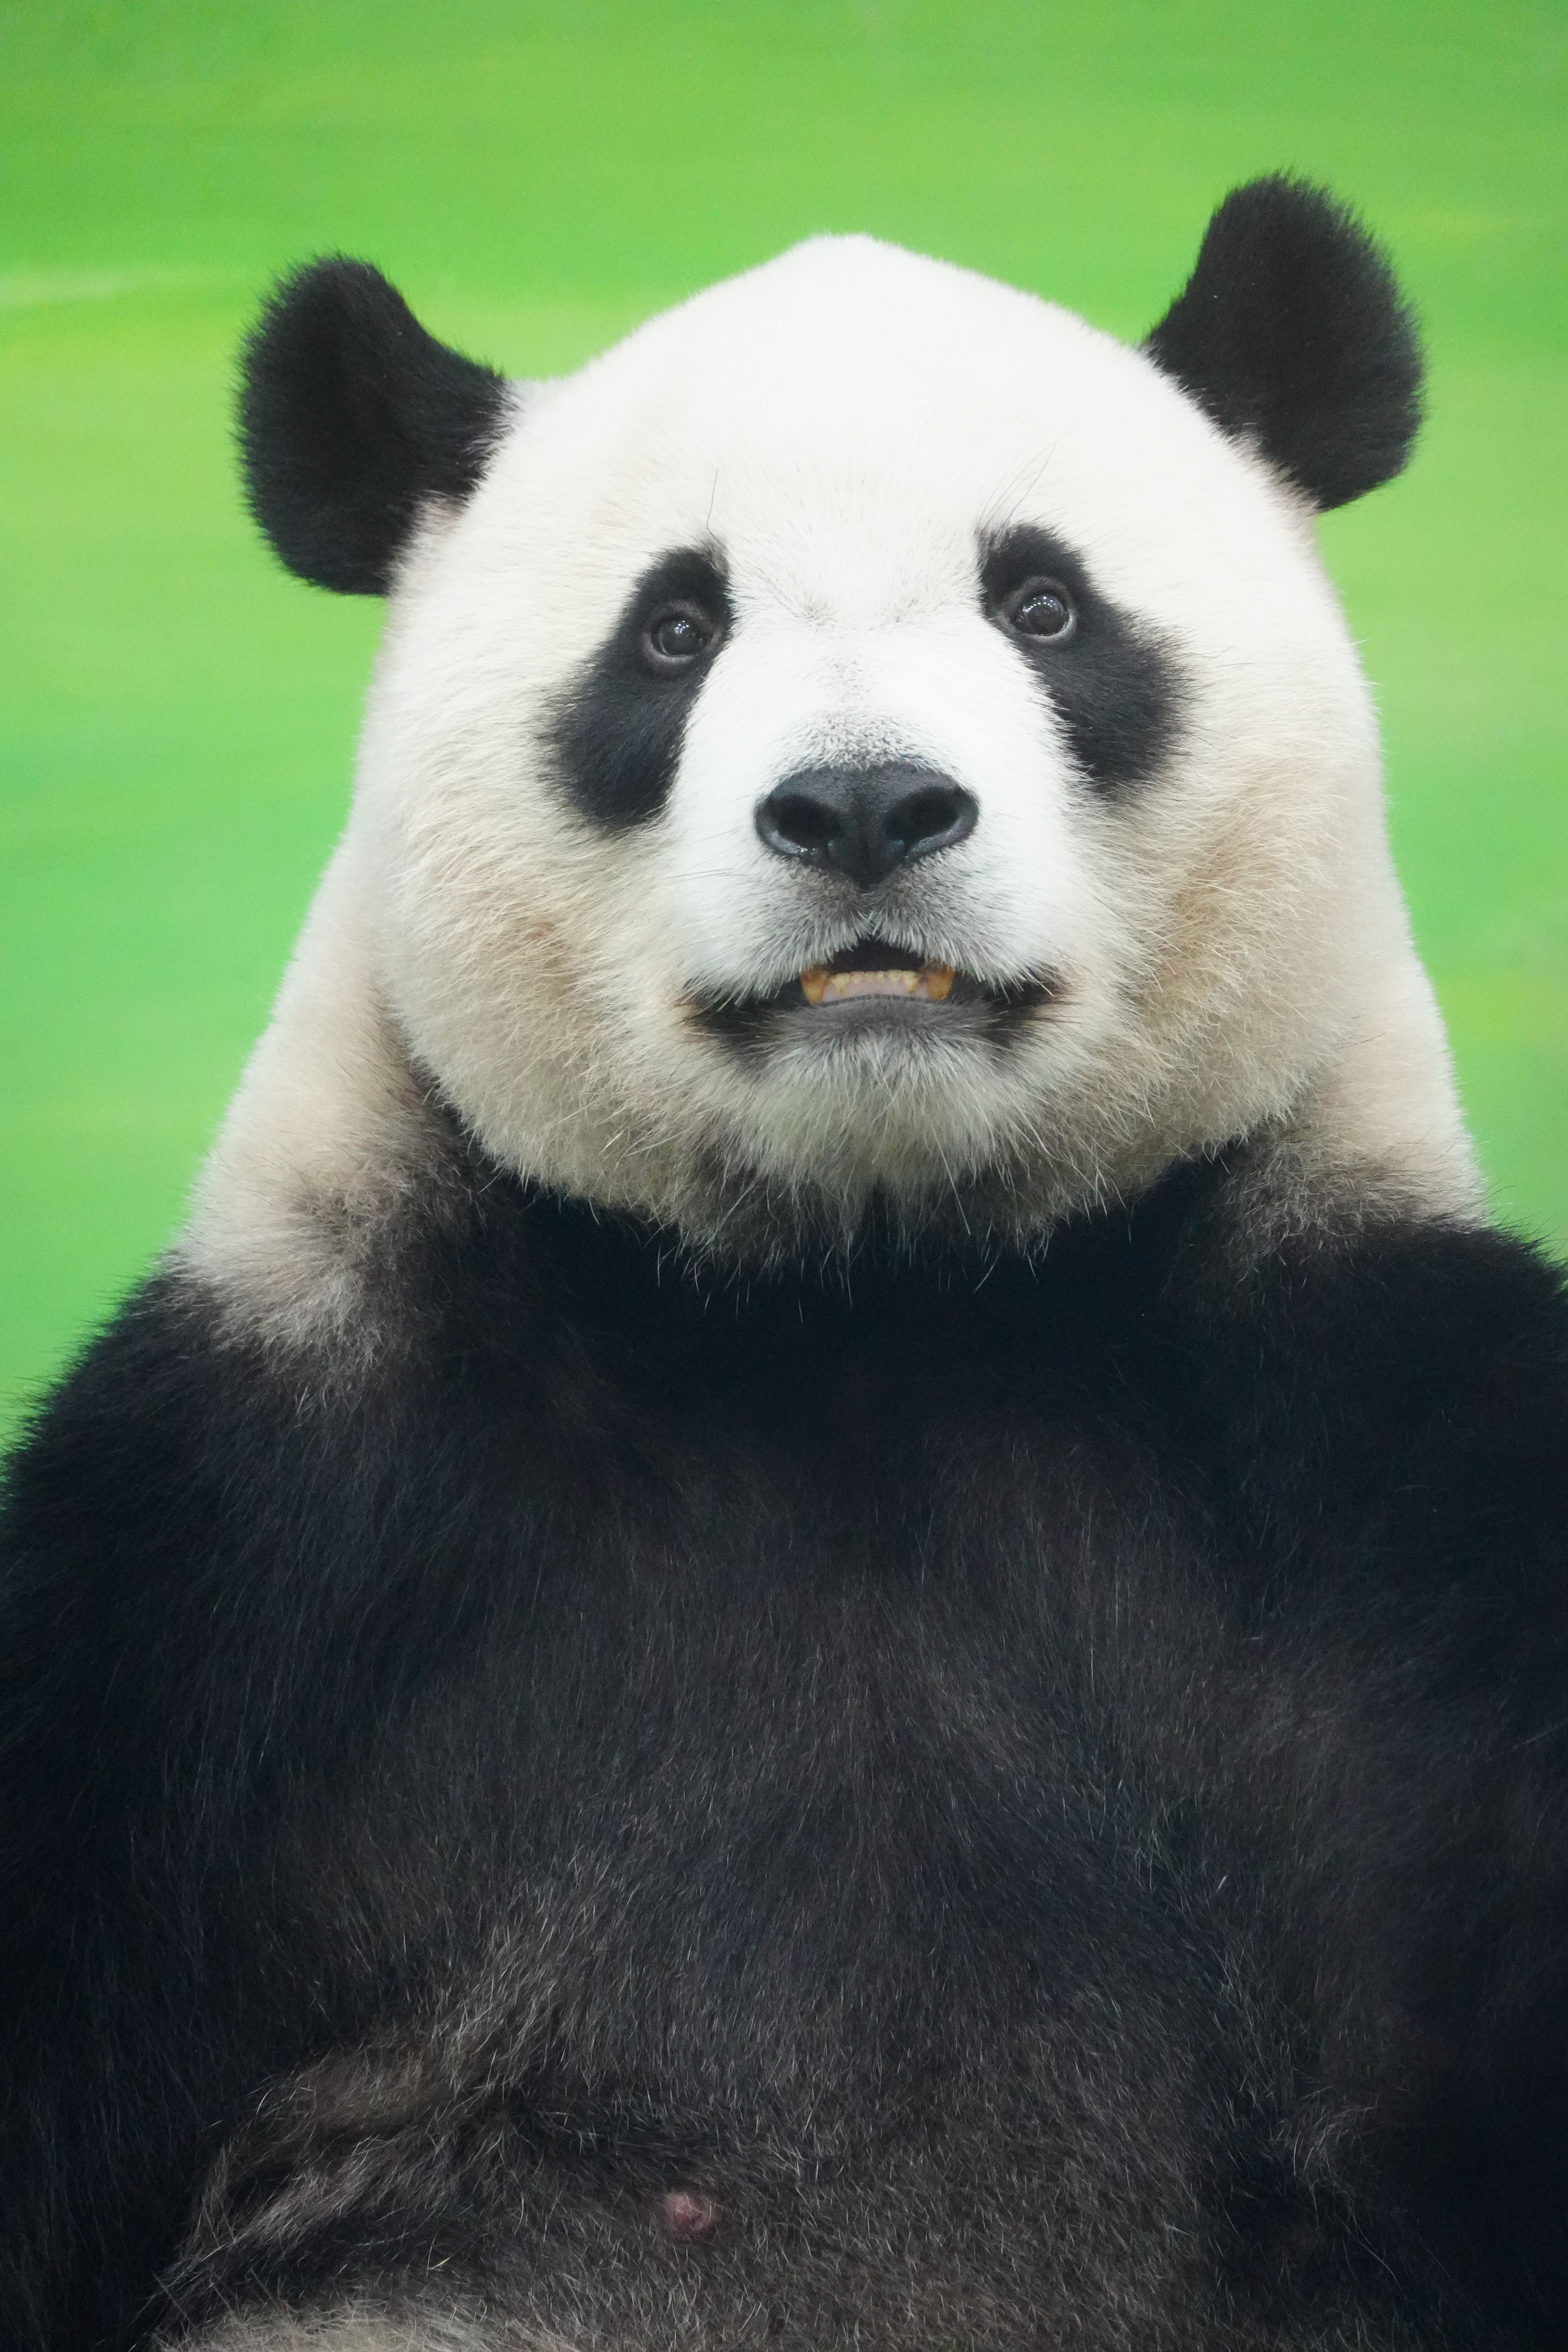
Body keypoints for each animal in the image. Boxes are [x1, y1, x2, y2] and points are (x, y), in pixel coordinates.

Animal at [3, 175, 1567, 2352]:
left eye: (1043, 606)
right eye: (675, 627)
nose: (863, 805)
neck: (871, 1304)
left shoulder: (1387, 1468)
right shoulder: (243, 1554)